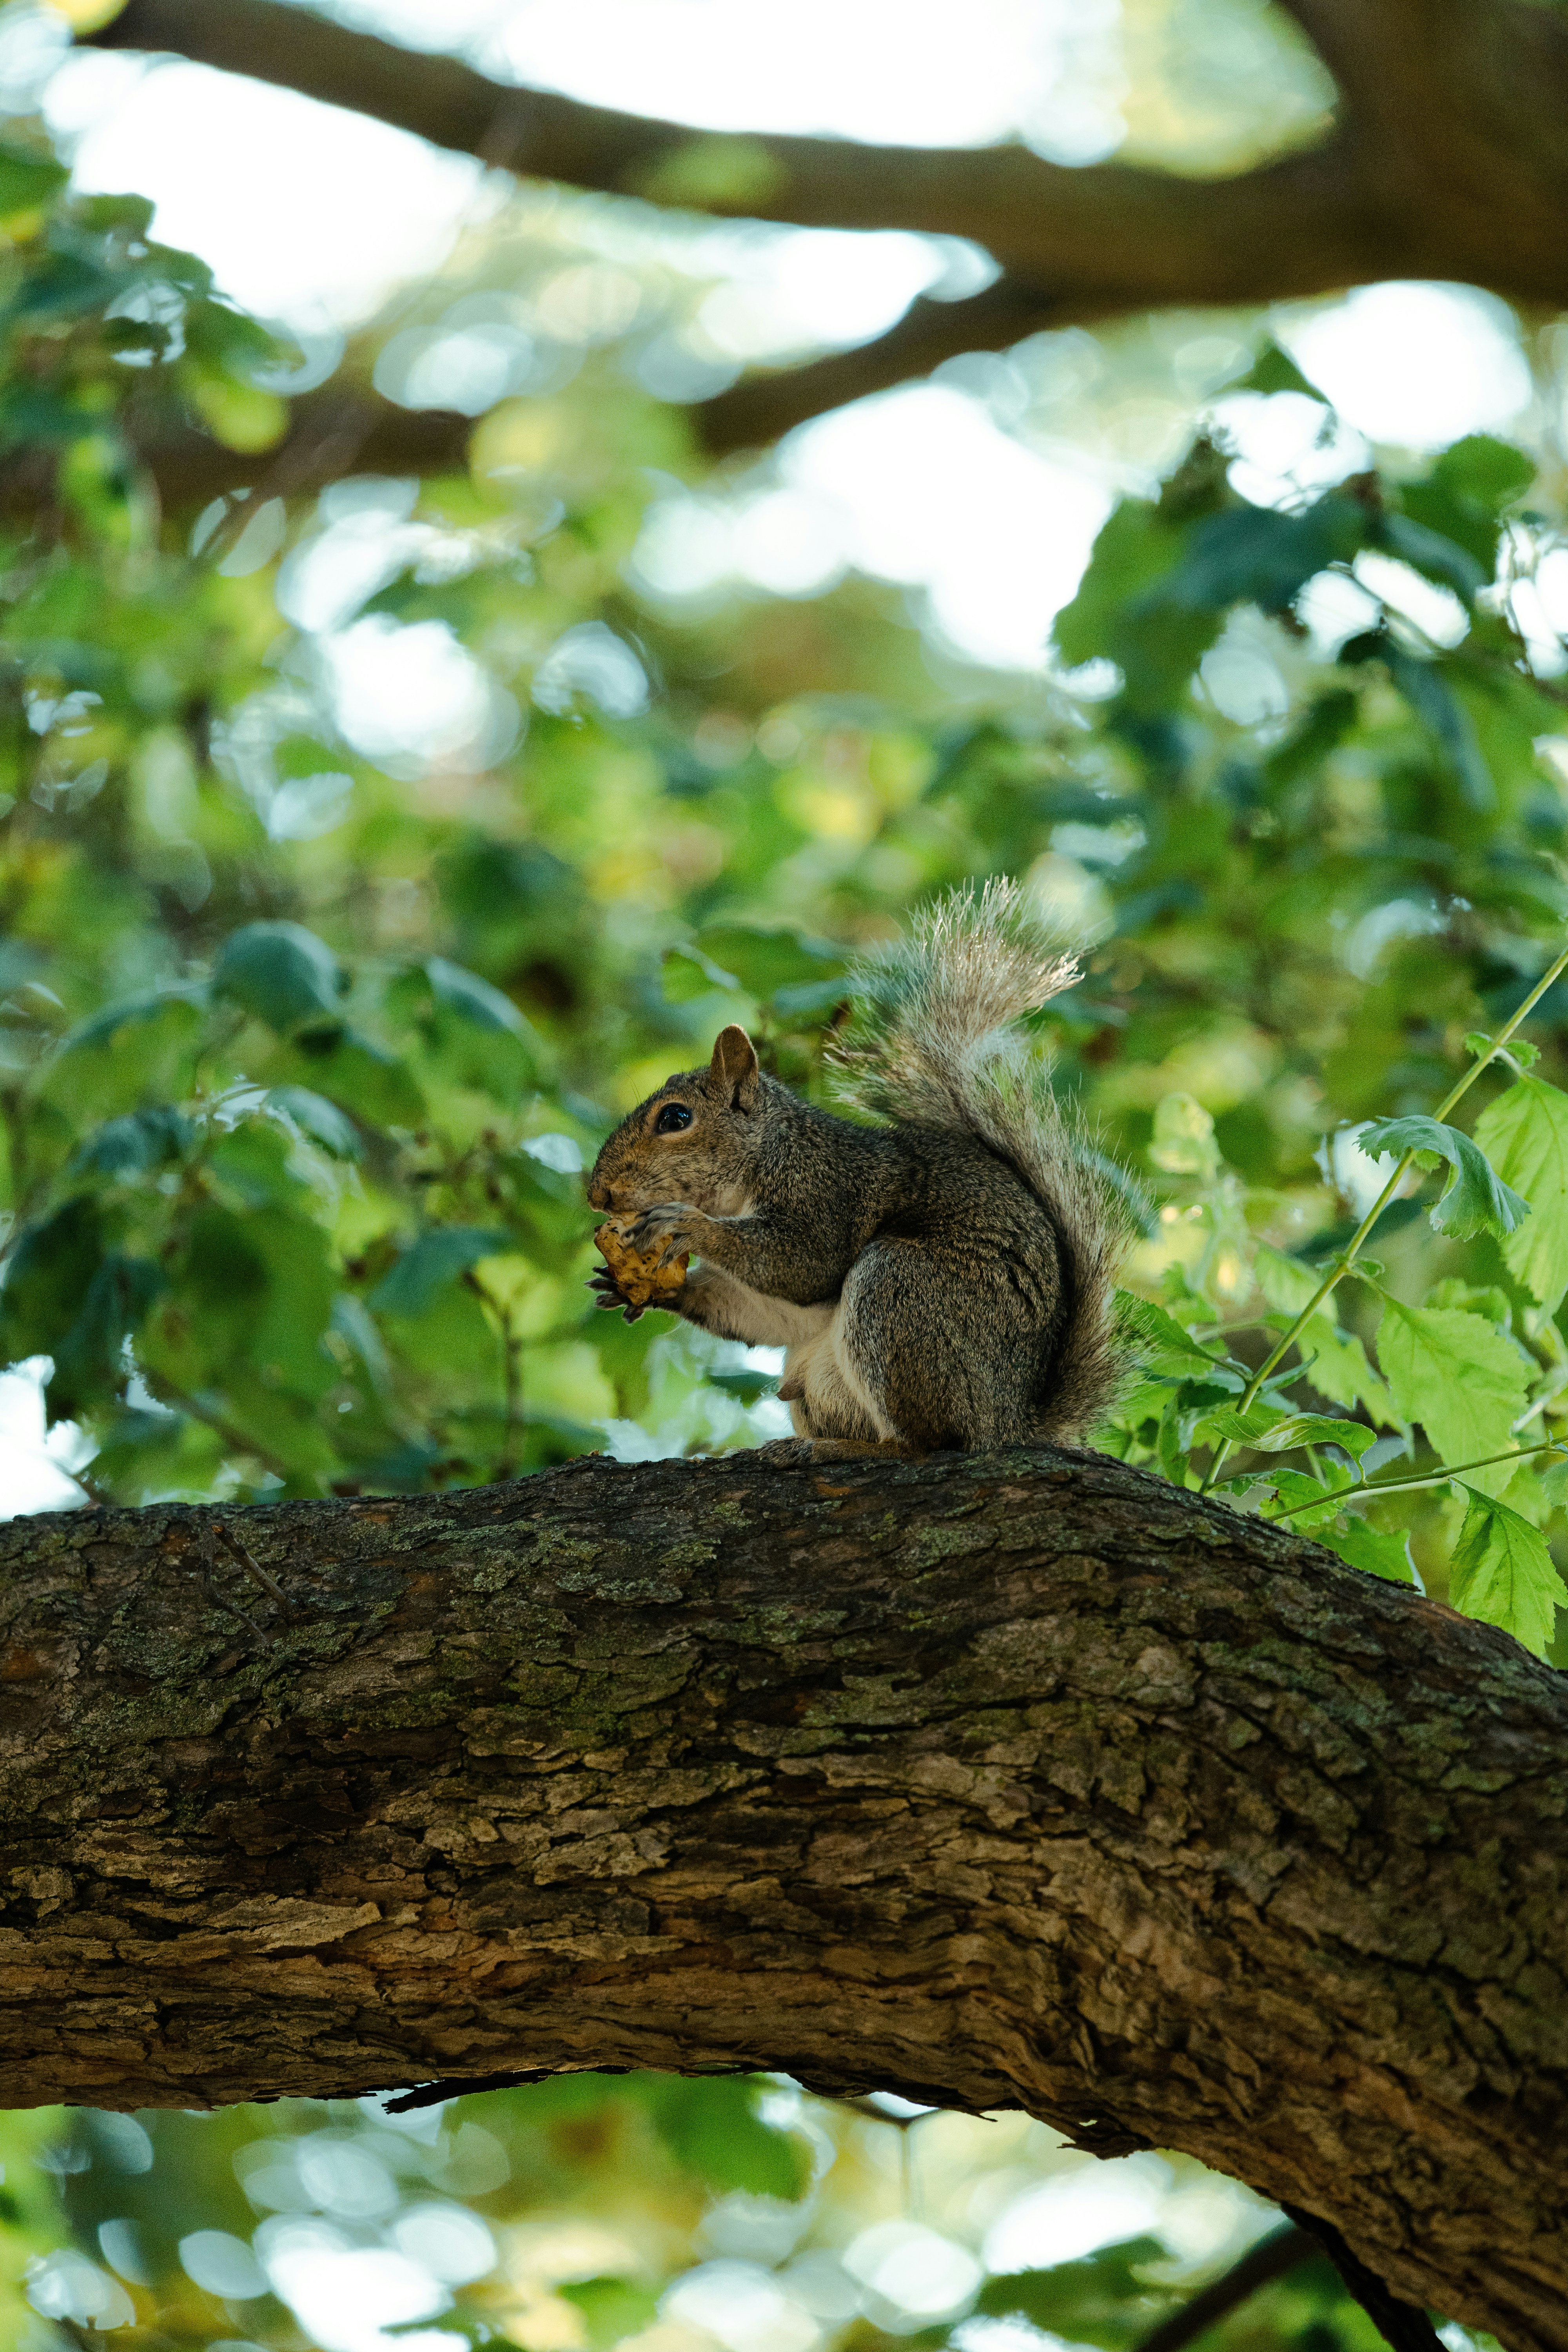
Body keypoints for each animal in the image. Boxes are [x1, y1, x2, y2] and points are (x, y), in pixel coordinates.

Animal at [585, 880, 1130, 1455]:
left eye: (676, 1118)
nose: (598, 1195)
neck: (769, 1153)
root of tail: (1008, 1424)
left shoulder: (828, 1188)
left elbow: (804, 1264)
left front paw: (687, 1225)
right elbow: (767, 1313)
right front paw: (643, 1287)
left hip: (902, 1293)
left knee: (925, 1444)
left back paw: (849, 1450)